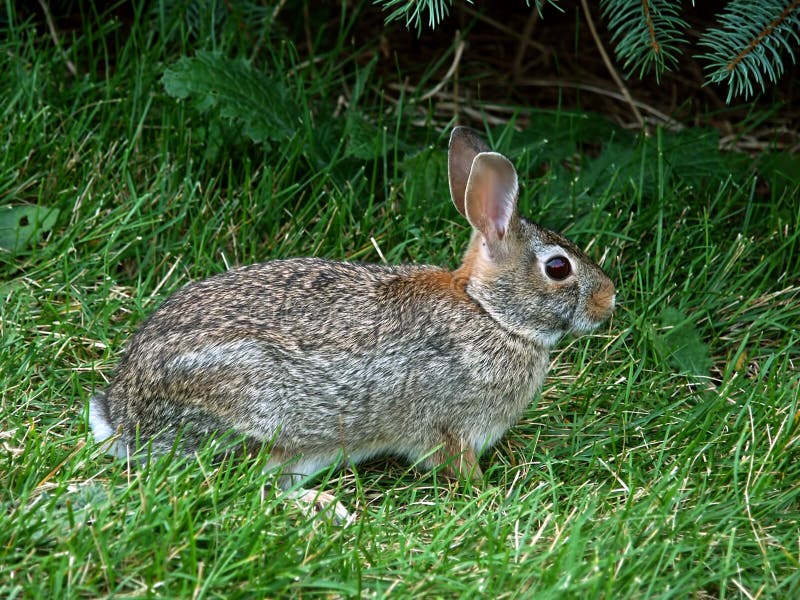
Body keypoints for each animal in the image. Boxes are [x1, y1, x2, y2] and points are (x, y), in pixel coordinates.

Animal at [89, 126, 616, 491]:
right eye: (558, 268)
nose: (609, 298)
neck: (490, 313)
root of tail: (122, 417)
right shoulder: (449, 428)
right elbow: (455, 463)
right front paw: (490, 494)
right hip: (261, 418)